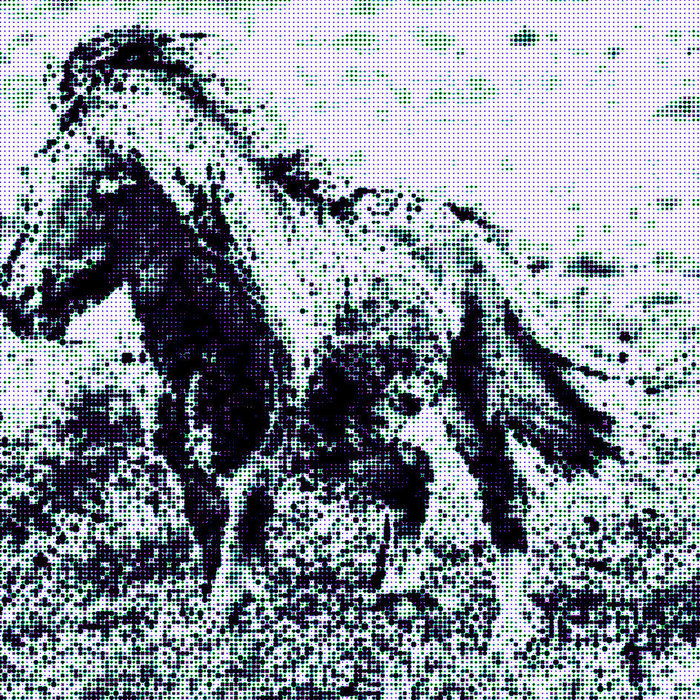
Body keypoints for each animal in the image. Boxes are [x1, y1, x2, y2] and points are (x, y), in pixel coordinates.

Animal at [0, 26, 615, 606]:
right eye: (34, 179)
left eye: (106, 187)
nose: (16, 299)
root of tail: (473, 230)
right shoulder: (191, 388)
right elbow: (190, 471)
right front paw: (211, 595)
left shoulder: (276, 406)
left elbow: (244, 493)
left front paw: (226, 609)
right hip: (365, 411)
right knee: (414, 477)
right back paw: (390, 593)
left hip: (465, 399)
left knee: (498, 491)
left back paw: (507, 620)